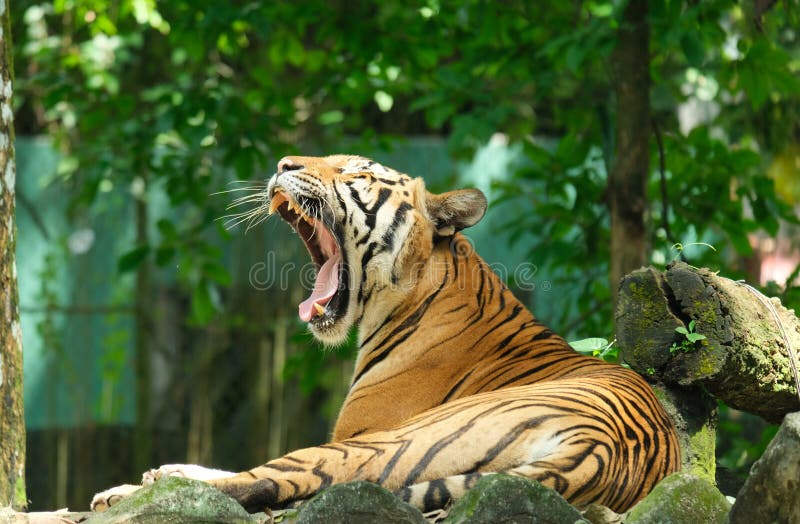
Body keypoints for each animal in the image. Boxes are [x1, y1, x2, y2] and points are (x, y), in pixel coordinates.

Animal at [92, 154, 680, 514]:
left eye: (357, 171)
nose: (283, 165)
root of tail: (603, 449)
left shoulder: (357, 430)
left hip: (385, 443)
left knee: (272, 479)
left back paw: (122, 494)